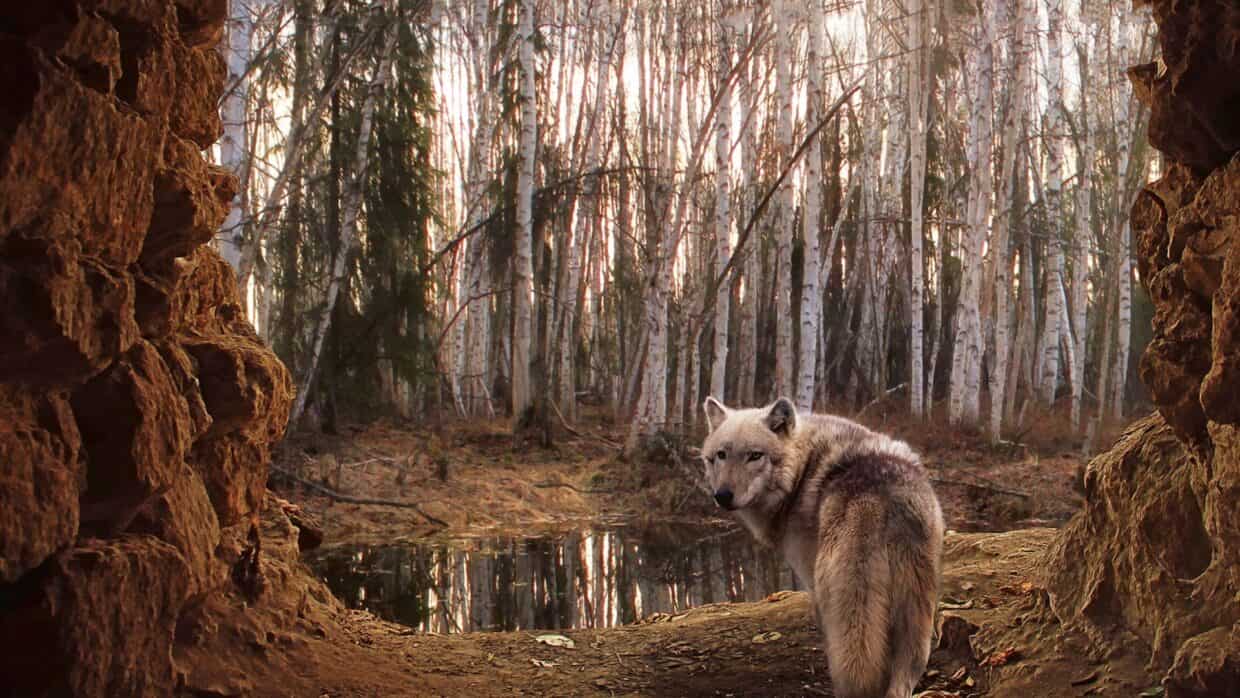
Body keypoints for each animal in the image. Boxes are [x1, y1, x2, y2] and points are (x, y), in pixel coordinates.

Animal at [700, 396, 944, 698]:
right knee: (902, 680)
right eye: (721, 455)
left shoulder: (812, 584)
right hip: (917, 617)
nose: (722, 496)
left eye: (755, 455)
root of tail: (880, 496)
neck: (801, 471)